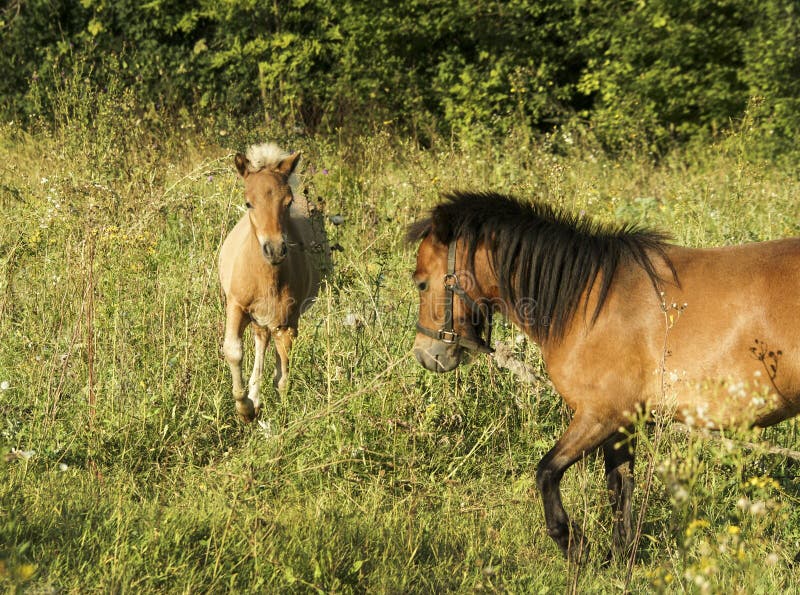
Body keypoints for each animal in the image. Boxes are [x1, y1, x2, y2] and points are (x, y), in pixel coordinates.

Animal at [218, 143, 329, 422]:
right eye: (248, 203)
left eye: (288, 203)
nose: (275, 250)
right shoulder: (236, 306)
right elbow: (233, 351)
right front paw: (245, 409)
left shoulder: (287, 322)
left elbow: (282, 377)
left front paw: (280, 417)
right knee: (260, 339)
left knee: (265, 341)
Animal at [407, 191, 800, 562]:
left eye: (421, 283)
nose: (426, 355)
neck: (586, 298)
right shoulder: (624, 422)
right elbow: (619, 488)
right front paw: (618, 558)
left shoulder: (601, 414)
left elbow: (546, 472)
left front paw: (573, 545)